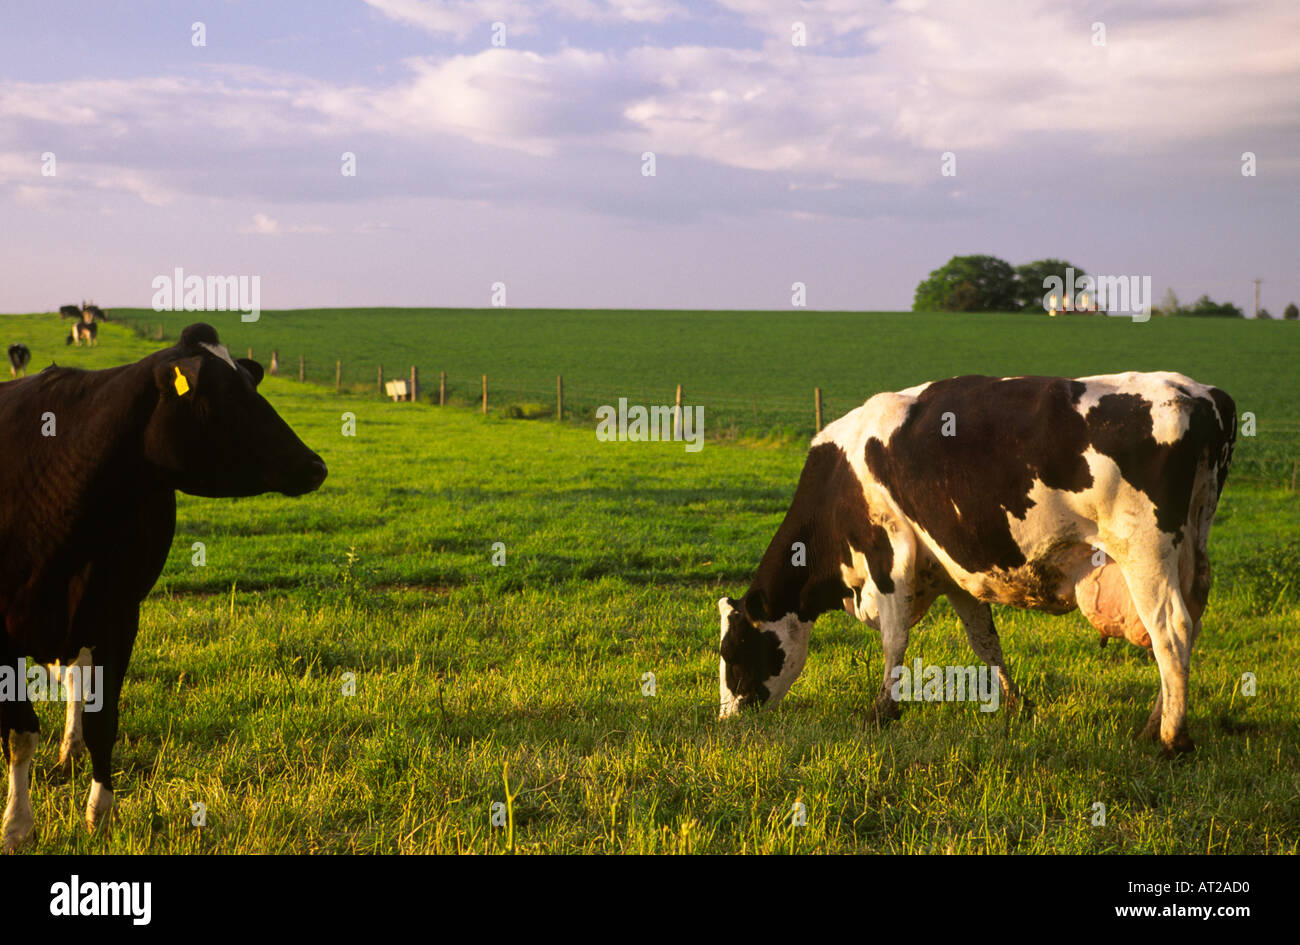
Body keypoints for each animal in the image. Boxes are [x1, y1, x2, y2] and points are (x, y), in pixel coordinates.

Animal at [0, 323, 328, 851]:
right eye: (224, 397)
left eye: (251, 386)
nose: (315, 465)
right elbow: (20, 733)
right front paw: (17, 825)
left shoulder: (118, 614)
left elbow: (104, 720)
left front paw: (99, 816)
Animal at [718, 372, 1235, 758]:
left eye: (733, 650)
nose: (727, 719)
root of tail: (1199, 394)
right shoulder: (953, 572)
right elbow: (986, 642)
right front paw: (1016, 704)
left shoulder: (889, 554)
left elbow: (894, 640)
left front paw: (881, 712)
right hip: (1193, 547)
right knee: (1185, 628)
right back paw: (1154, 724)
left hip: (1144, 549)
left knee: (1170, 630)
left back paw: (1172, 740)